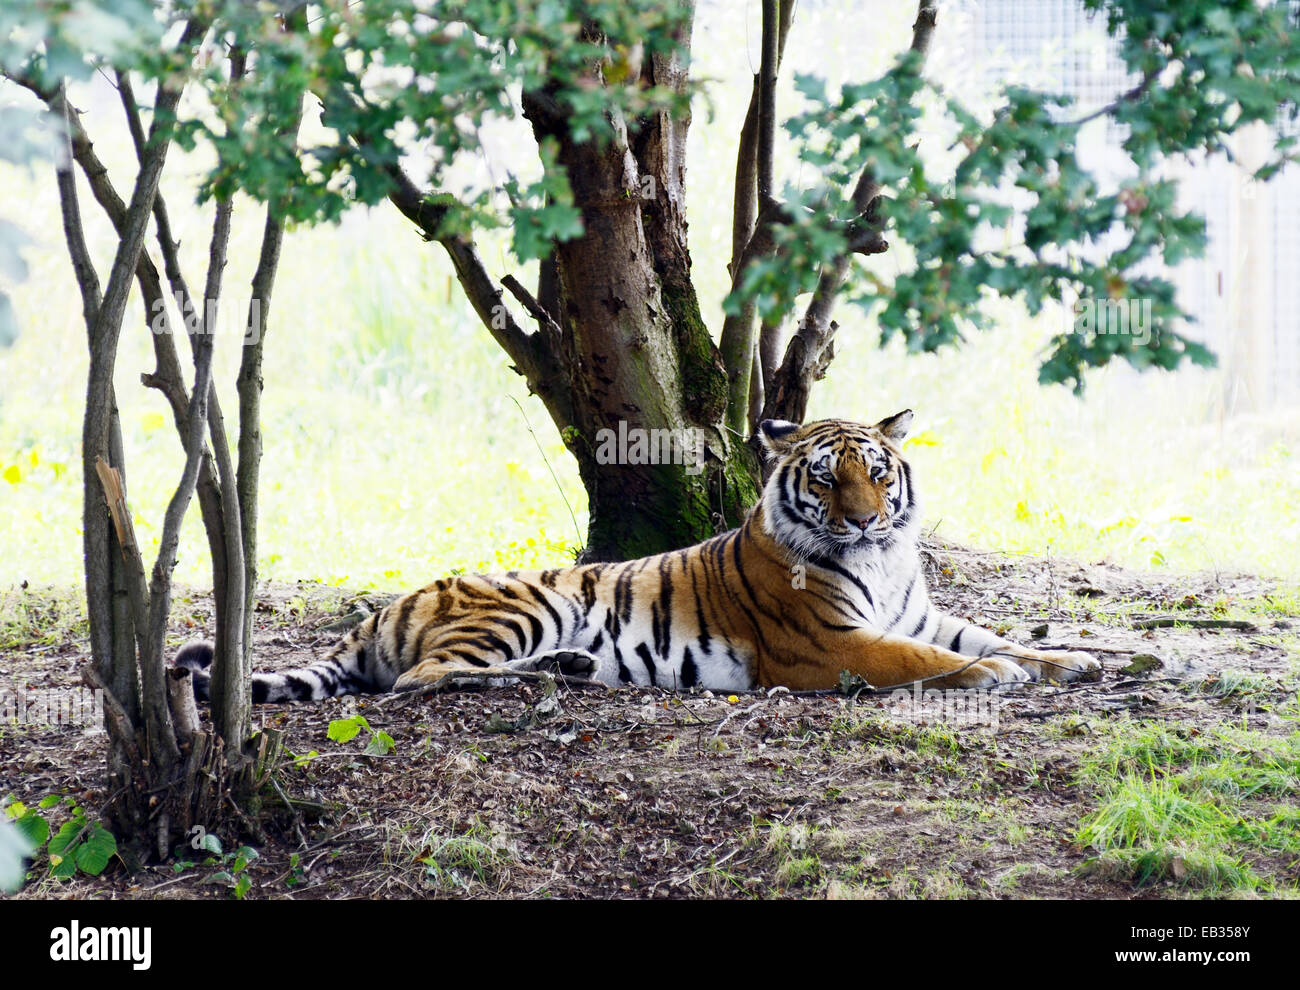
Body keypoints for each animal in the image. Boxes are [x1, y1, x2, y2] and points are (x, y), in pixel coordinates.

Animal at [175, 411, 1100, 703]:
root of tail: (380, 612)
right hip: (525, 605)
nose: (869, 523)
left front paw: (1080, 658)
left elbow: (991, 635)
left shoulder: (921, 611)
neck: (884, 567)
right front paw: (995, 677)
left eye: (877, 473)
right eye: (827, 480)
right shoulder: (827, 644)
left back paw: (577, 669)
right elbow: (923, 659)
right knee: (422, 680)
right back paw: (547, 676)